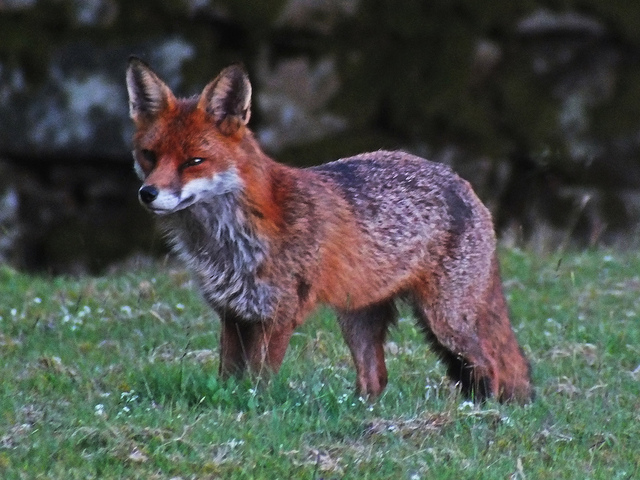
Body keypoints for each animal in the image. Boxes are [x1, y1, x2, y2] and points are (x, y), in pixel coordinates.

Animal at [126, 57, 533, 403]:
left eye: (194, 161)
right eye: (150, 155)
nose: (147, 194)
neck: (227, 241)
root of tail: (462, 182)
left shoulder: (278, 313)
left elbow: (258, 381)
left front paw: (254, 409)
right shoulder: (233, 313)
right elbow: (229, 377)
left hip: (445, 320)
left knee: (491, 366)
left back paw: (481, 412)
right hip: (358, 320)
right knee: (375, 379)